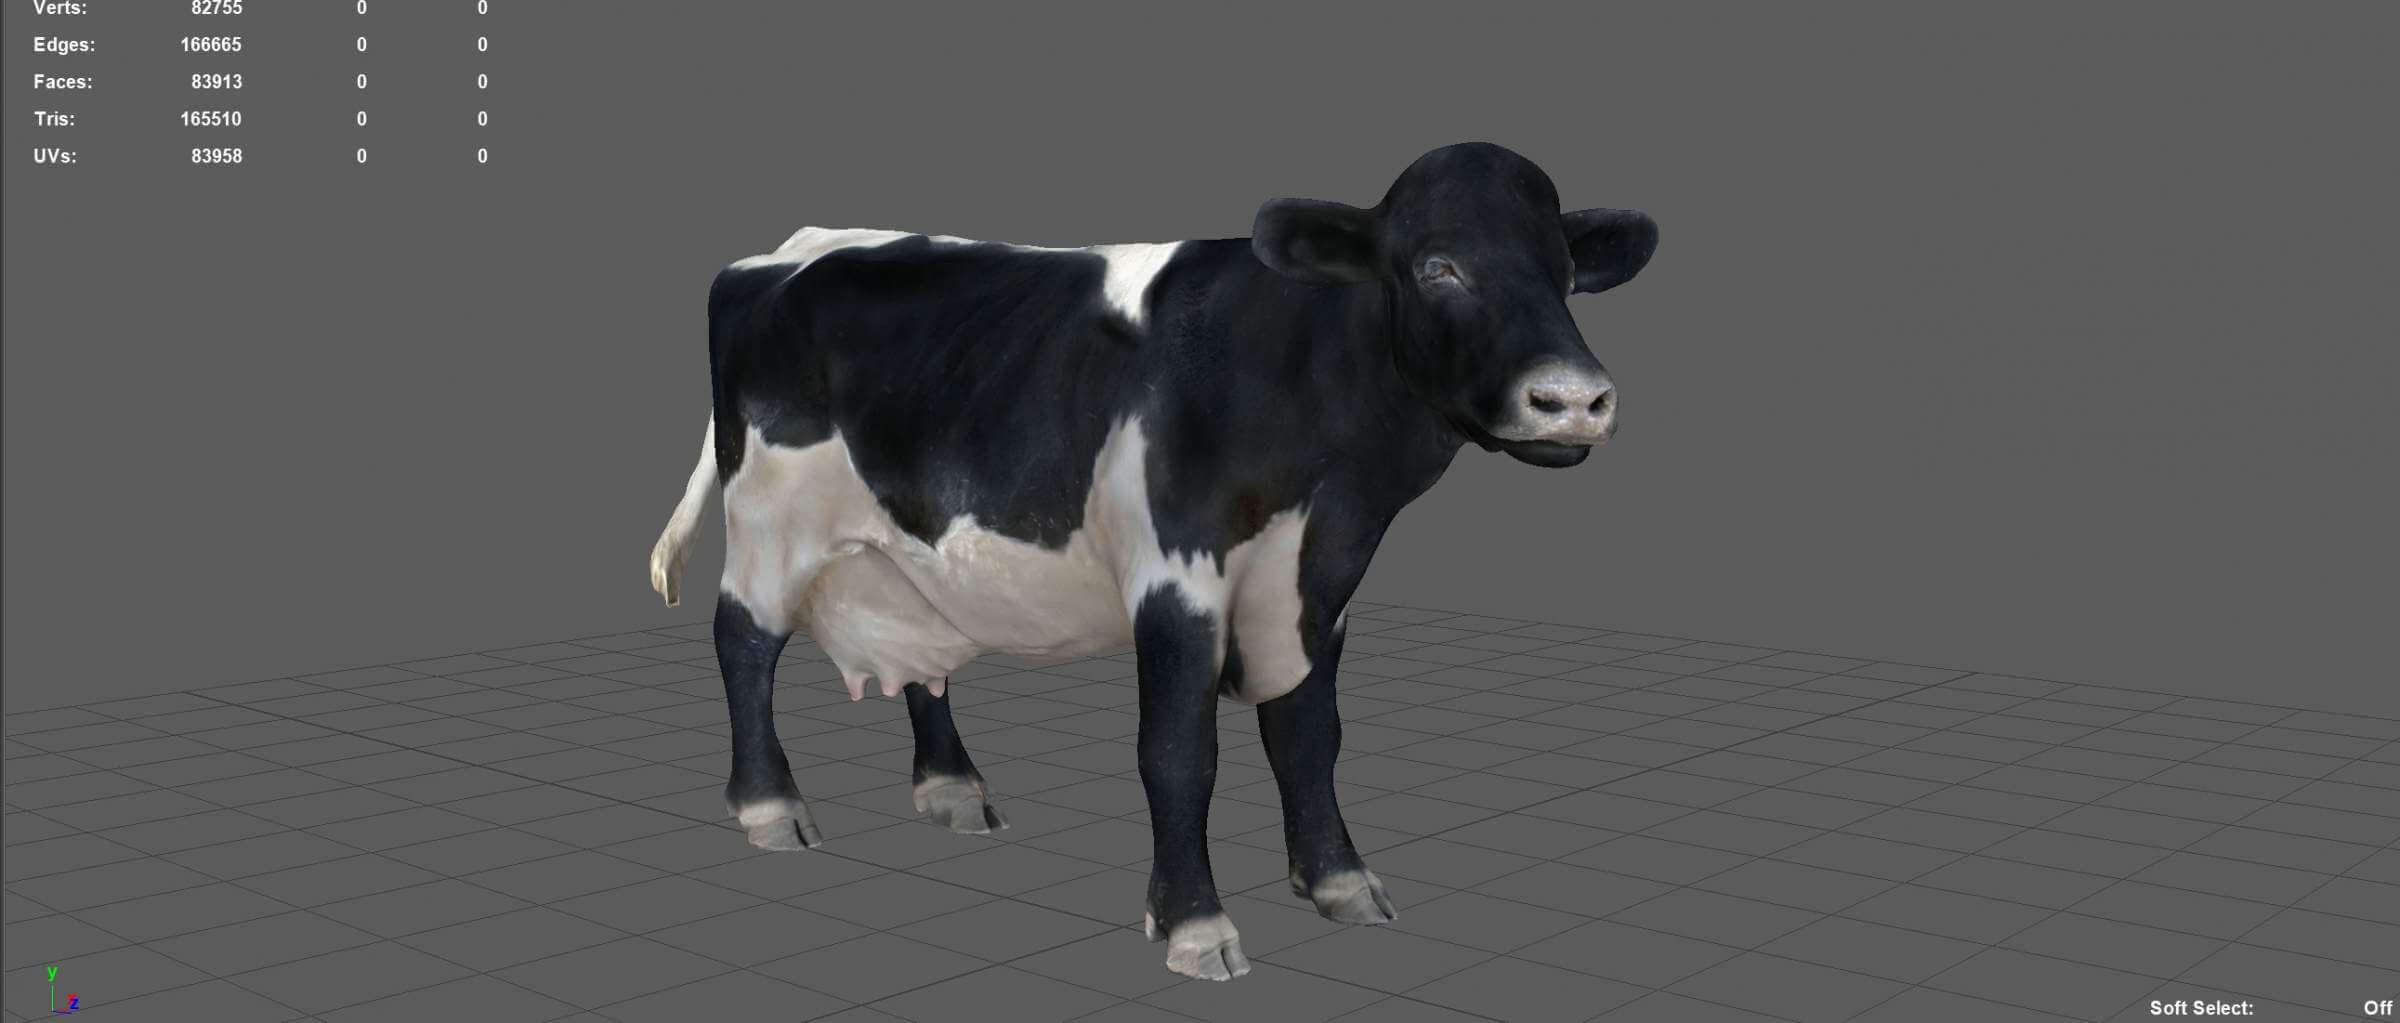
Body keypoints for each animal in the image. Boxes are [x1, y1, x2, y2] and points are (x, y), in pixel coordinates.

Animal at [648, 142, 1657, 981]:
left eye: (1567, 273)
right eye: (1437, 266)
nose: (1573, 398)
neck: (1331, 486)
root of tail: (789, 246)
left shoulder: (1317, 589)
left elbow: (1311, 736)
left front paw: (1339, 880)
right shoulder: (1177, 578)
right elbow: (1178, 753)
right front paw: (1195, 925)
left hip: (915, 546)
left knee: (923, 652)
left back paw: (953, 787)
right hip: (770, 522)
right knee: (741, 640)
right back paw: (770, 807)